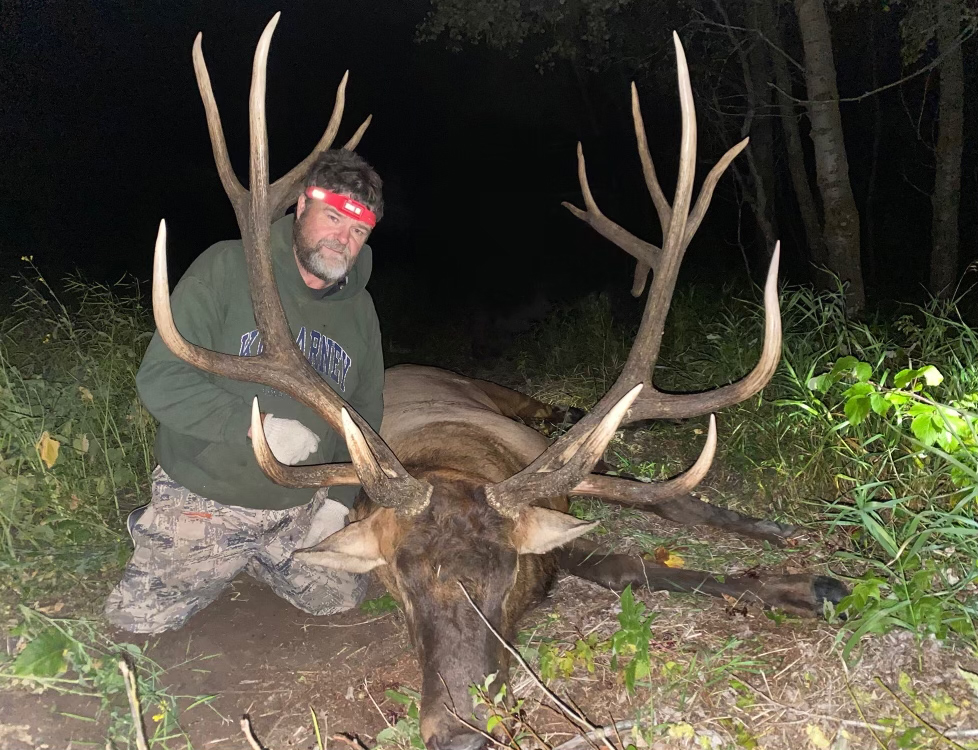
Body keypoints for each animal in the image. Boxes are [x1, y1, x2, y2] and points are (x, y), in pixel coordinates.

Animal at [151, 14, 847, 750]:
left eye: (502, 575)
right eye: (397, 584)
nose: (460, 731)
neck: (456, 462)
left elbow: (662, 506)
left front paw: (803, 572)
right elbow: (620, 565)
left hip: (501, 397)